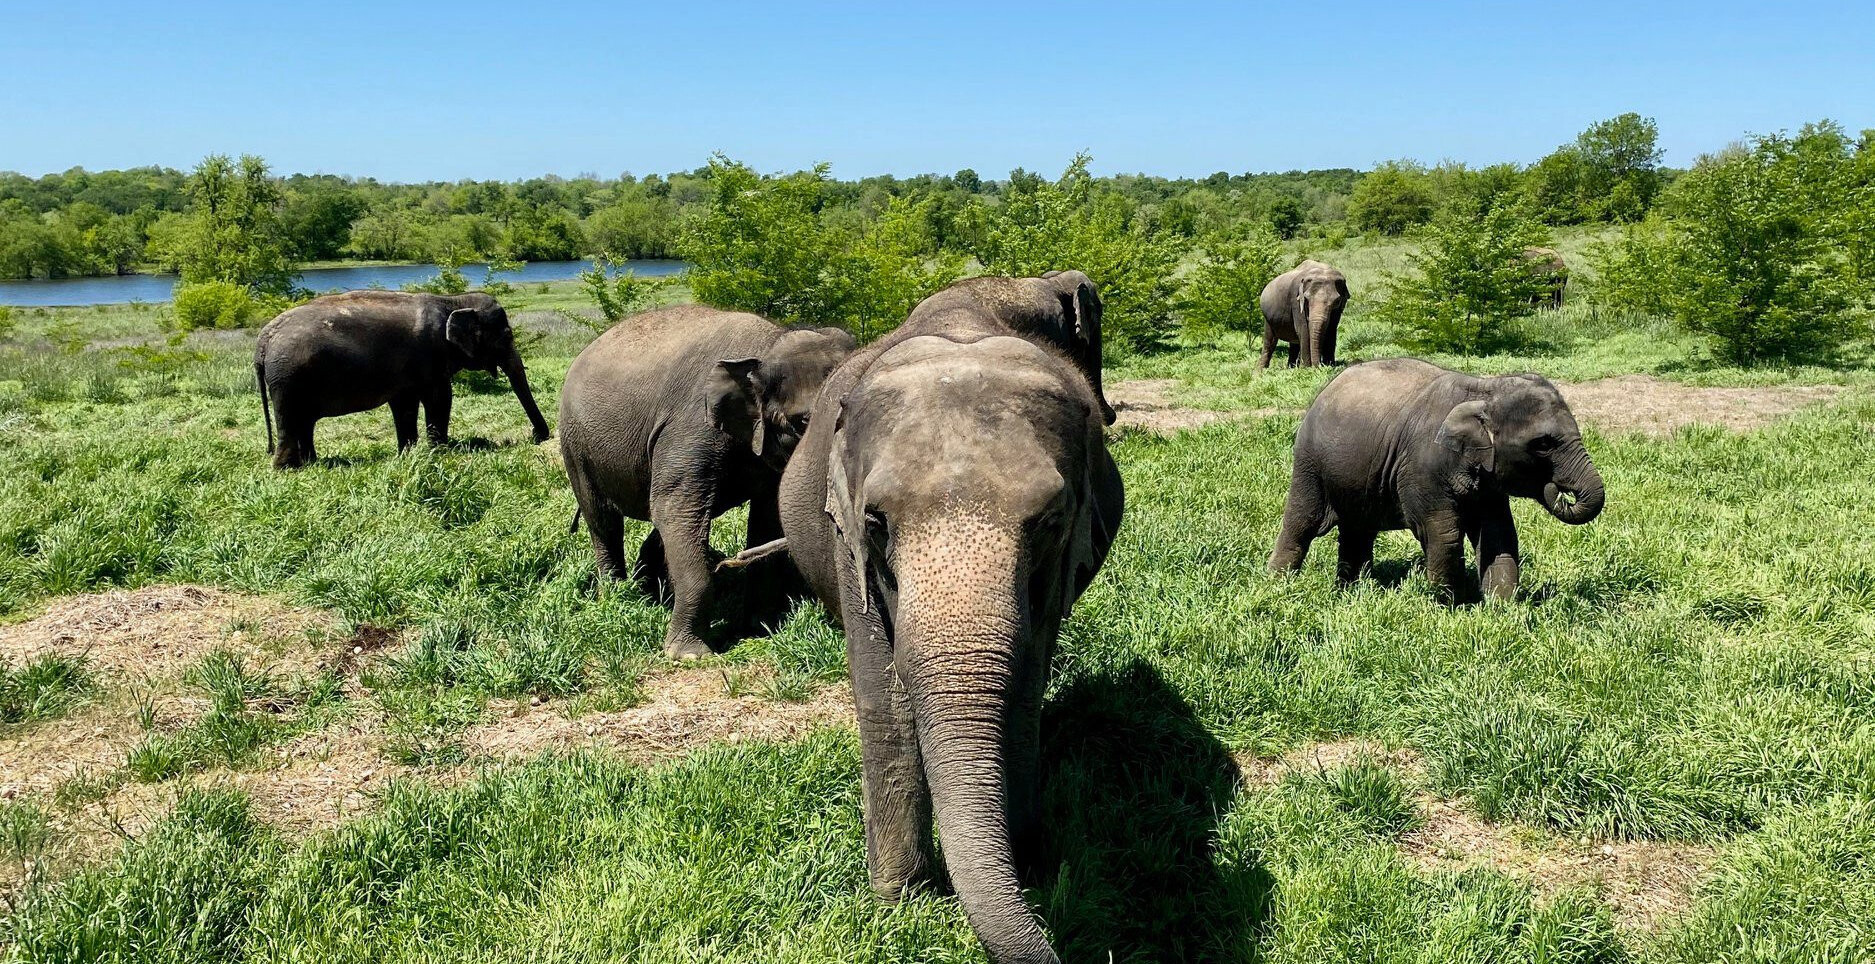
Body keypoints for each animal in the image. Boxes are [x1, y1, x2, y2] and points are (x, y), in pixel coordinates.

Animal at [254, 291, 550, 469]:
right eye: (506, 336)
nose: (537, 436)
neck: (452, 301)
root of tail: (263, 339)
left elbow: (404, 405)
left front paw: (408, 454)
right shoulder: (430, 355)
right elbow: (440, 398)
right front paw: (439, 451)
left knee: (303, 422)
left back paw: (312, 463)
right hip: (288, 379)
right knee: (290, 418)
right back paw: (288, 469)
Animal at [558, 305, 855, 659]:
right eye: (804, 422)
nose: (728, 562)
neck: (769, 343)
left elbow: (768, 518)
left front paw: (760, 629)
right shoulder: (692, 428)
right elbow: (675, 508)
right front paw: (688, 654)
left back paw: (650, 591)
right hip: (575, 446)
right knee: (604, 521)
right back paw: (618, 598)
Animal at [772, 285, 1124, 964]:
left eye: (1050, 520)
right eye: (876, 521)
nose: (1061, 936)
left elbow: (1024, 692)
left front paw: (1032, 865)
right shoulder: (846, 540)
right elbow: (883, 702)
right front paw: (899, 903)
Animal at [1268, 357, 1604, 603]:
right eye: (1543, 444)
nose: (1556, 489)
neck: (1485, 389)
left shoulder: (1490, 483)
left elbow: (1498, 534)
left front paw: (1504, 609)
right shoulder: (1421, 469)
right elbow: (1442, 533)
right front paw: (1447, 606)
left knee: (1358, 531)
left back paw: (1351, 592)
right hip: (1309, 463)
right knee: (1302, 523)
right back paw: (1279, 586)